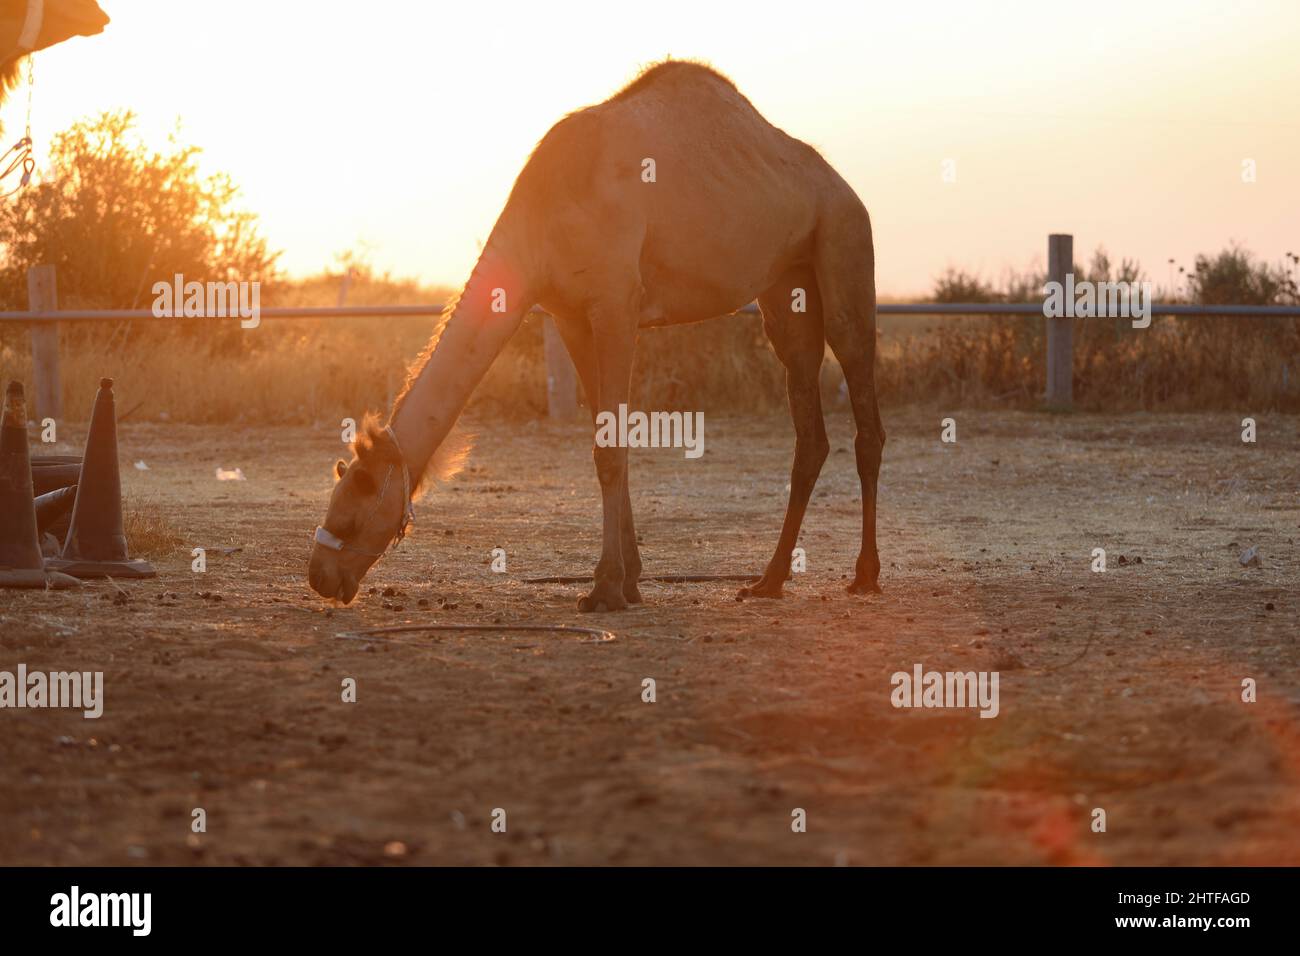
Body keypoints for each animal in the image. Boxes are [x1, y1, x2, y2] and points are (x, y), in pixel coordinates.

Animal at [308, 60, 885, 610]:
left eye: (349, 517)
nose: (319, 576)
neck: (543, 219)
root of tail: (844, 188)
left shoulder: (616, 305)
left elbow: (610, 448)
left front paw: (605, 589)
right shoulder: (570, 317)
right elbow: (608, 436)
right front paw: (631, 582)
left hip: (844, 239)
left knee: (861, 397)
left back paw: (865, 575)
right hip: (785, 287)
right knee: (808, 422)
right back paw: (769, 580)